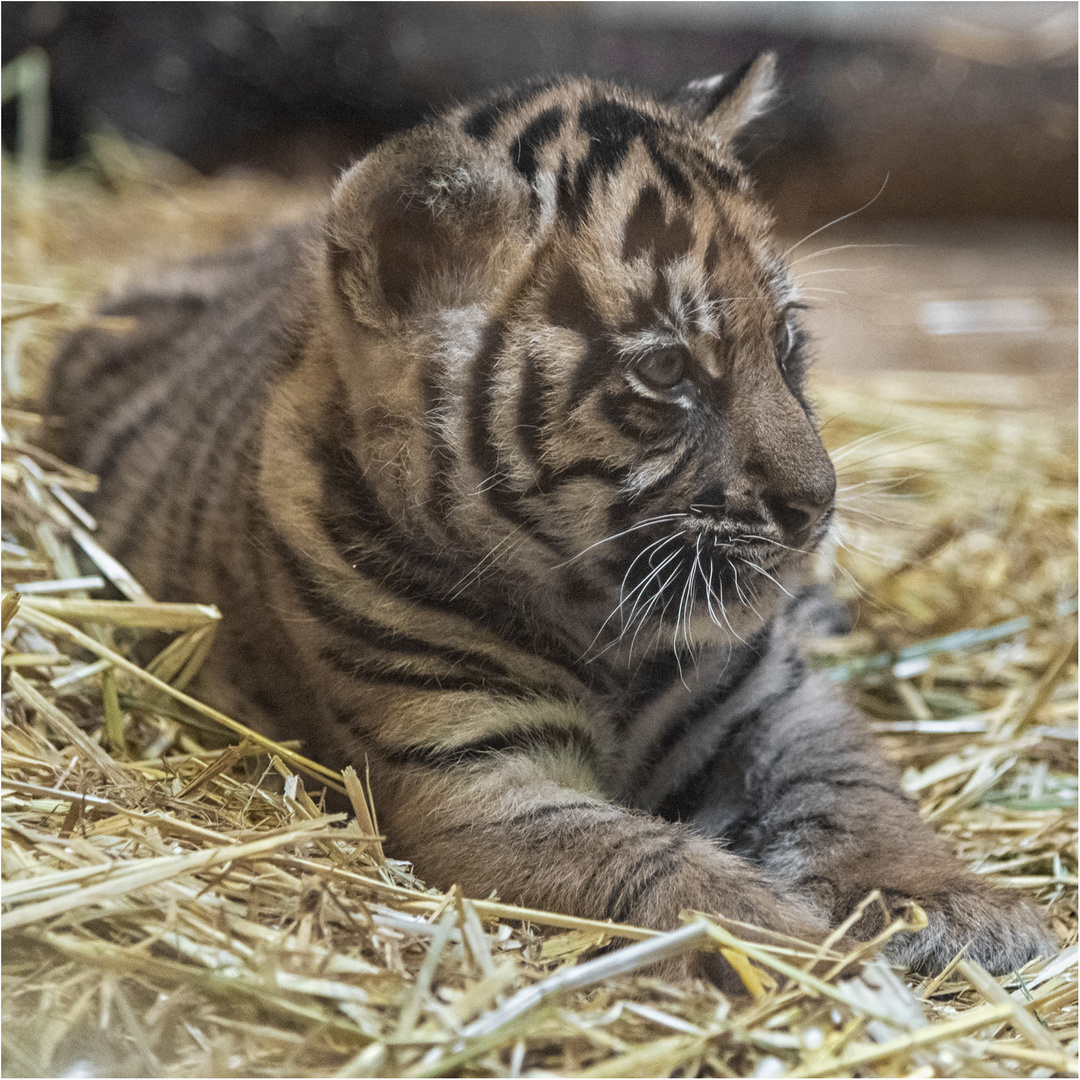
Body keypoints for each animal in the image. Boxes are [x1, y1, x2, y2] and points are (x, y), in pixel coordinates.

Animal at [47, 55, 1052, 984]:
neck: (603, 621)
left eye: (787, 341)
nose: (818, 505)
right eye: (667, 370)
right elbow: (657, 867)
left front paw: (944, 905)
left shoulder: (775, 702)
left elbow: (857, 791)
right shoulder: (473, 776)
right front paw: (800, 954)